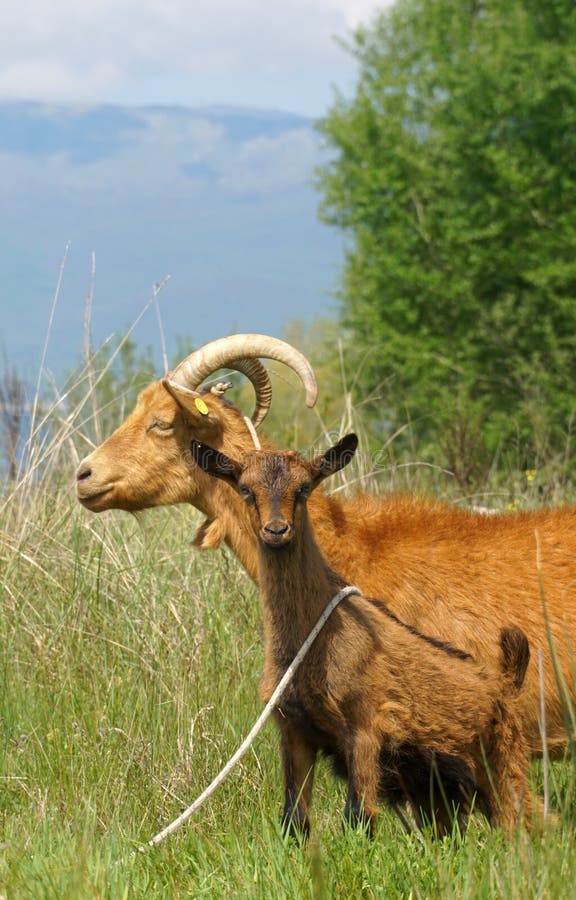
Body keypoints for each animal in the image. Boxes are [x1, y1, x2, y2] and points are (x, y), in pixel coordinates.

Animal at [191, 434, 533, 836]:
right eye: (245, 490)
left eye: (304, 488)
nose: (276, 531)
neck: (315, 640)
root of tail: (506, 678)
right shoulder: (294, 729)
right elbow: (294, 819)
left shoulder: (366, 727)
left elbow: (358, 817)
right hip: (436, 783)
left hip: (502, 761)